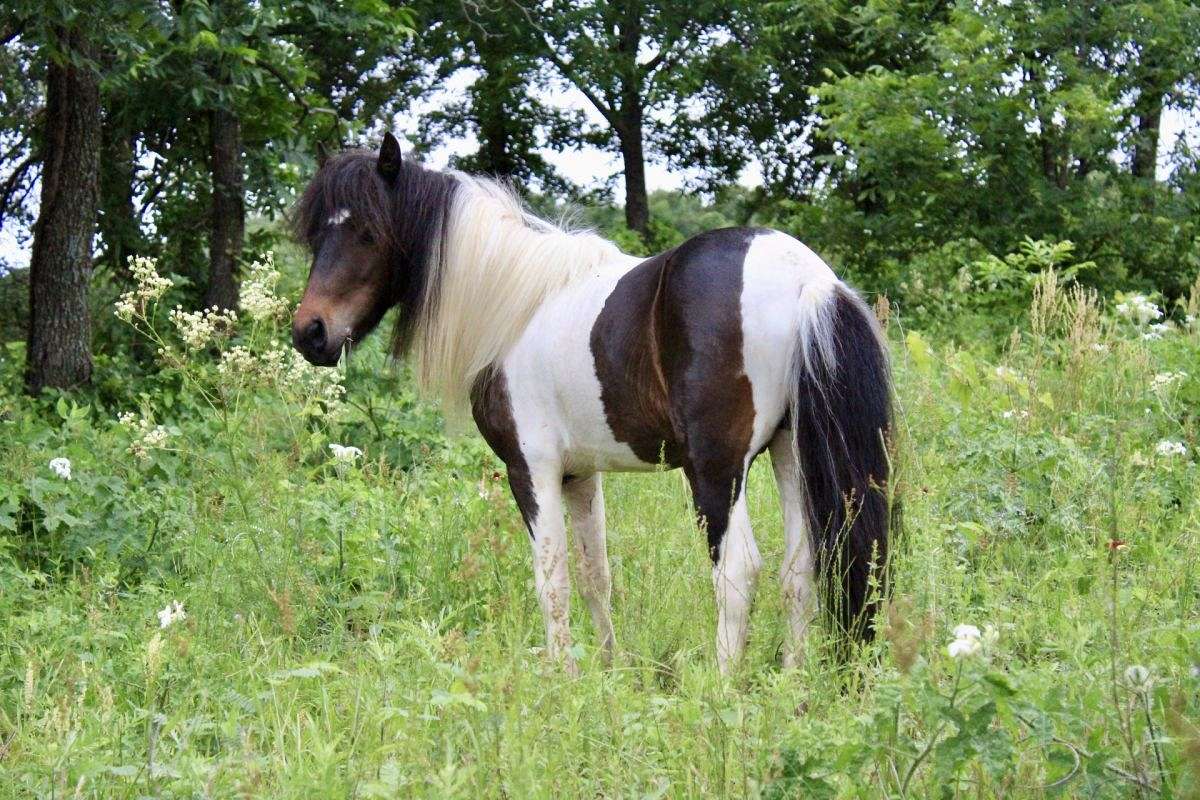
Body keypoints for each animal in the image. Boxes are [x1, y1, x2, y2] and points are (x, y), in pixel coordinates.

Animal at [291, 132, 894, 675]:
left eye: (368, 233)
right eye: (318, 233)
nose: (310, 333)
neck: (514, 304)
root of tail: (805, 280)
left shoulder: (530, 469)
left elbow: (552, 579)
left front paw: (564, 679)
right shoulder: (581, 474)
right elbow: (593, 577)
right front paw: (607, 672)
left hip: (716, 470)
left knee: (738, 573)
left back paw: (722, 691)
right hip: (790, 452)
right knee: (802, 568)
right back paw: (791, 683)